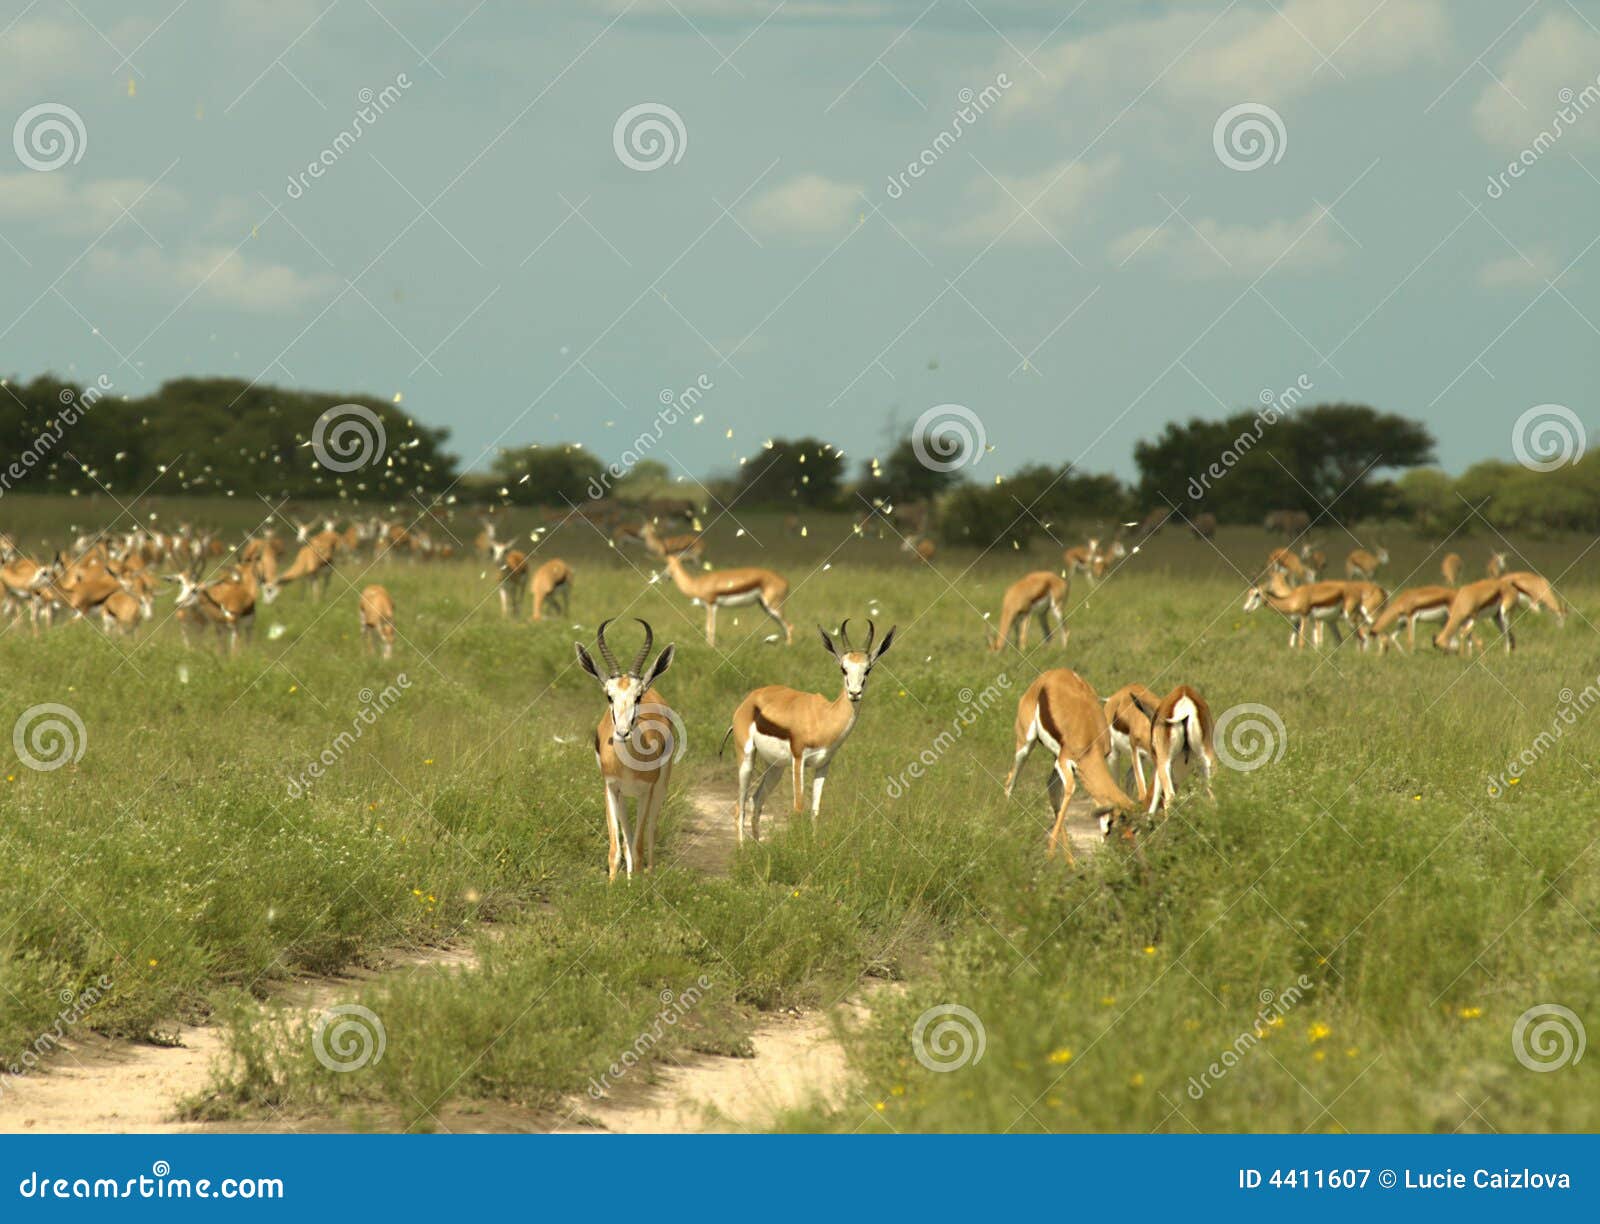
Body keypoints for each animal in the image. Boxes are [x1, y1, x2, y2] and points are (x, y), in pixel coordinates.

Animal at [574, 619, 677, 881]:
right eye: (609, 696)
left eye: (637, 696)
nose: (622, 732)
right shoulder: (610, 788)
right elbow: (616, 850)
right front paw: (614, 887)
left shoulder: (645, 792)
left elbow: (640, 847)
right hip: (622, 796)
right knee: (628, 838)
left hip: (659, 790)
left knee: (650, 834)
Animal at [661, 552, 792, 646]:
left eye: (668, 565)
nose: (664, 576)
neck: (696, 584)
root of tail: (785, 581)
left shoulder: (711, 606)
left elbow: (710, 628)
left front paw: (710, 647)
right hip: (765, 607)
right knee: (784, 626)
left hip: (772, 606)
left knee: (789, 625)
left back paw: (788, 646)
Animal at [720, 618, 895, 843]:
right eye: (843, 668)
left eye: (868, 669)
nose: (854, 693)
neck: (824, 718)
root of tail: (749, 700)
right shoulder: (799, 760)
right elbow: (798, 808)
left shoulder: (823, 765)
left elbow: (815, 810)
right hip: (747, 759)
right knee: (739, 806)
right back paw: (743, 849)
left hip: (775, 767)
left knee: (756, 799)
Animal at [1002, 669, 1138, 860]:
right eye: (1116, 822)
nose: (1128, 852)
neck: (1090, 740)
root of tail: (1049, 675)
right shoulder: (1066, 761)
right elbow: (1070, 791)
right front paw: (1050, 855)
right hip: (1026, 745)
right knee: (1010, 782)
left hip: (1054, 757)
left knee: (1051, 786)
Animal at [1141, 685, 1217, 814]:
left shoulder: (1159, 762)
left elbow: (1156, 794)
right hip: (1207, 757)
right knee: (1212, 795)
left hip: (1165, 762)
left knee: (1170, 796)